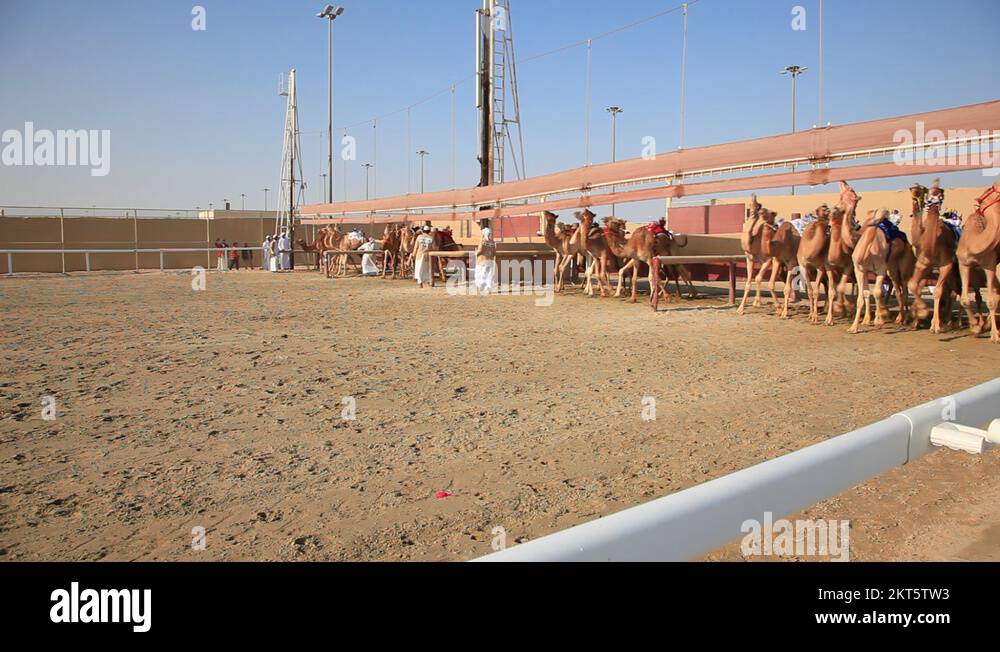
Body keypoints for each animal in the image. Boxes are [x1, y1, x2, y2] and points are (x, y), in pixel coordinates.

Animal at [957, 180, 1000, 342]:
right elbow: (964, 299)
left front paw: (994, 335)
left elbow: (992, 300)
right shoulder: (963, 263)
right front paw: (975, 327)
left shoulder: (989, 263)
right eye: (992, 187)